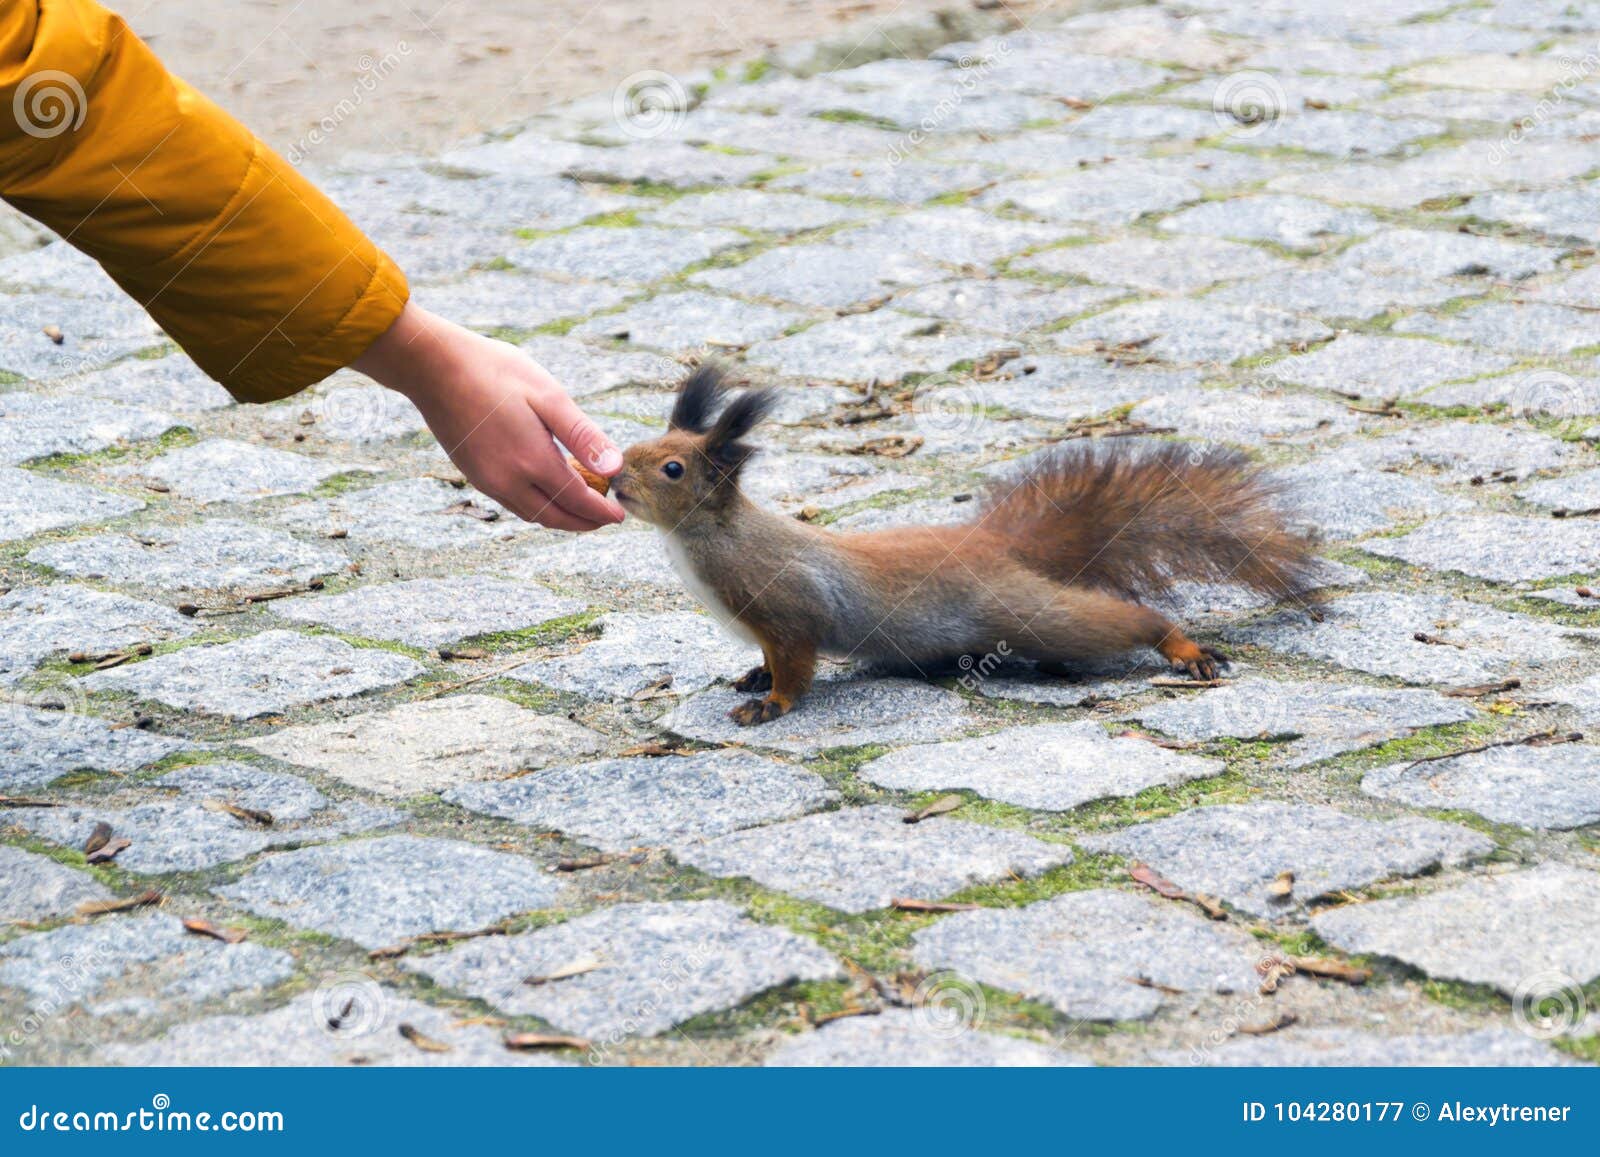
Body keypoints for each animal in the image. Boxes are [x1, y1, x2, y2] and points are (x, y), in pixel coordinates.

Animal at [612, 364, 1319, 726]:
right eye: (636, 447)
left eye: (672, 469)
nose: (614, 479)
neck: (707, 541)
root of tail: (991, 546)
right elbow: (766, 655)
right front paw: (754, 675)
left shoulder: (788, 603)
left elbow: (795, 662)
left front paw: (772, 703)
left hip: (1022, 614)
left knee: (1115, 621)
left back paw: (1181, 647)